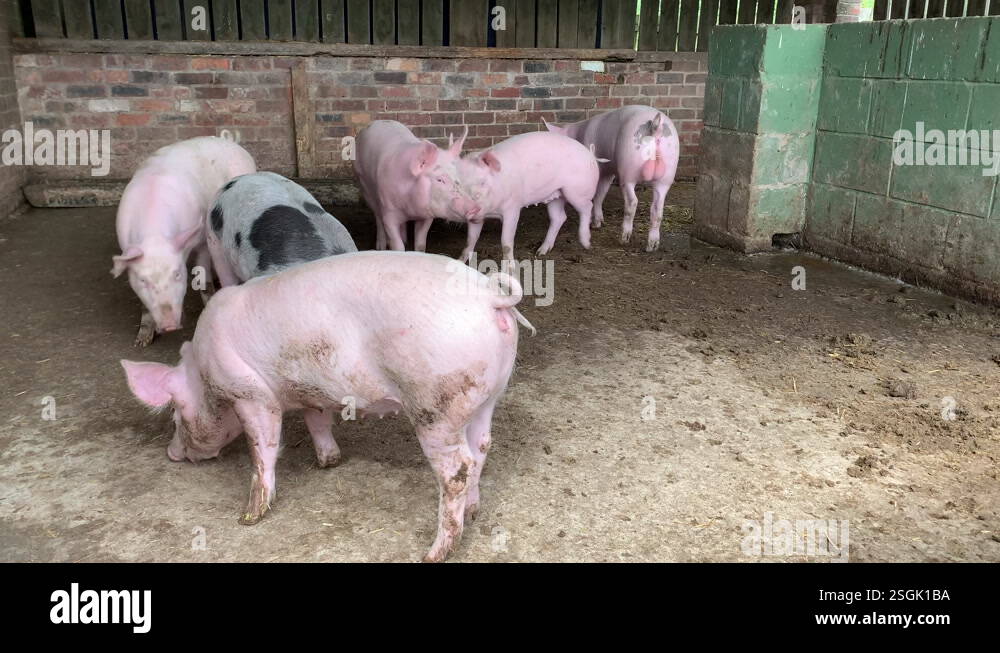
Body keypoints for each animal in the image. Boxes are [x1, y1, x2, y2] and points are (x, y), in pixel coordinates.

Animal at [112, 136, 257, 346]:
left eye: (178, 274)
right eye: (143, 280)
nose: (169, 325)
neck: (154, 236)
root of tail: (229, 141)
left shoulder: (201, 240)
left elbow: (203, 279)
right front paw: (141, 342)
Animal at [120, 250, 535, 562]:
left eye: (175, 413)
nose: (171, 453)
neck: (203, 372)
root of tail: (490, 296)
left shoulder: (250, 394)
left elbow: (262, 448)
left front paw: (250, 517)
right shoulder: (311, 390)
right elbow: (317, 421)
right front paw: (328, 461)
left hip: (435, 404)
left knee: (458, 468)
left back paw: (433, 554)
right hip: (485, 397)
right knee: (481, 448)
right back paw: (473, 512)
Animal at [354, 120, 479, 253]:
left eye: (458, 177)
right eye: (440, 179)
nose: (475, 207)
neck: (410, 208)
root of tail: (374, 123)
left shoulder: (427, 216)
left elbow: (420, 244)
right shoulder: (388, 214)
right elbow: (398, 245)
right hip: (364, 186)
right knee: (377, 216)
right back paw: (380, 247)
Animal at [456, 131, 601, 262]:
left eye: (483, 182)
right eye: (457, 184)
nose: (468, 209)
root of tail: (590, 154)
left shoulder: (513, 208)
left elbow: (506, 241)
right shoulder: (477, 219)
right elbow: (470, 240)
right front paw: (460, 261)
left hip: (576, 192)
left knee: (587, 207)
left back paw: (586, 243)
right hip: (556, 195)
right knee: (559, 217)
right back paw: (541, 252)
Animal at [545, 105, 680, 252]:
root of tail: (656, 126)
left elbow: (595, 194)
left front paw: (594, 223)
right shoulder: (608, 173)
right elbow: (601, 194)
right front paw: (598, 223)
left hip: (628, 166)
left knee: (632, 202)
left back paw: (624, 239)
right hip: (667, 174)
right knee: (657, 208)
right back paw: (652, 247)